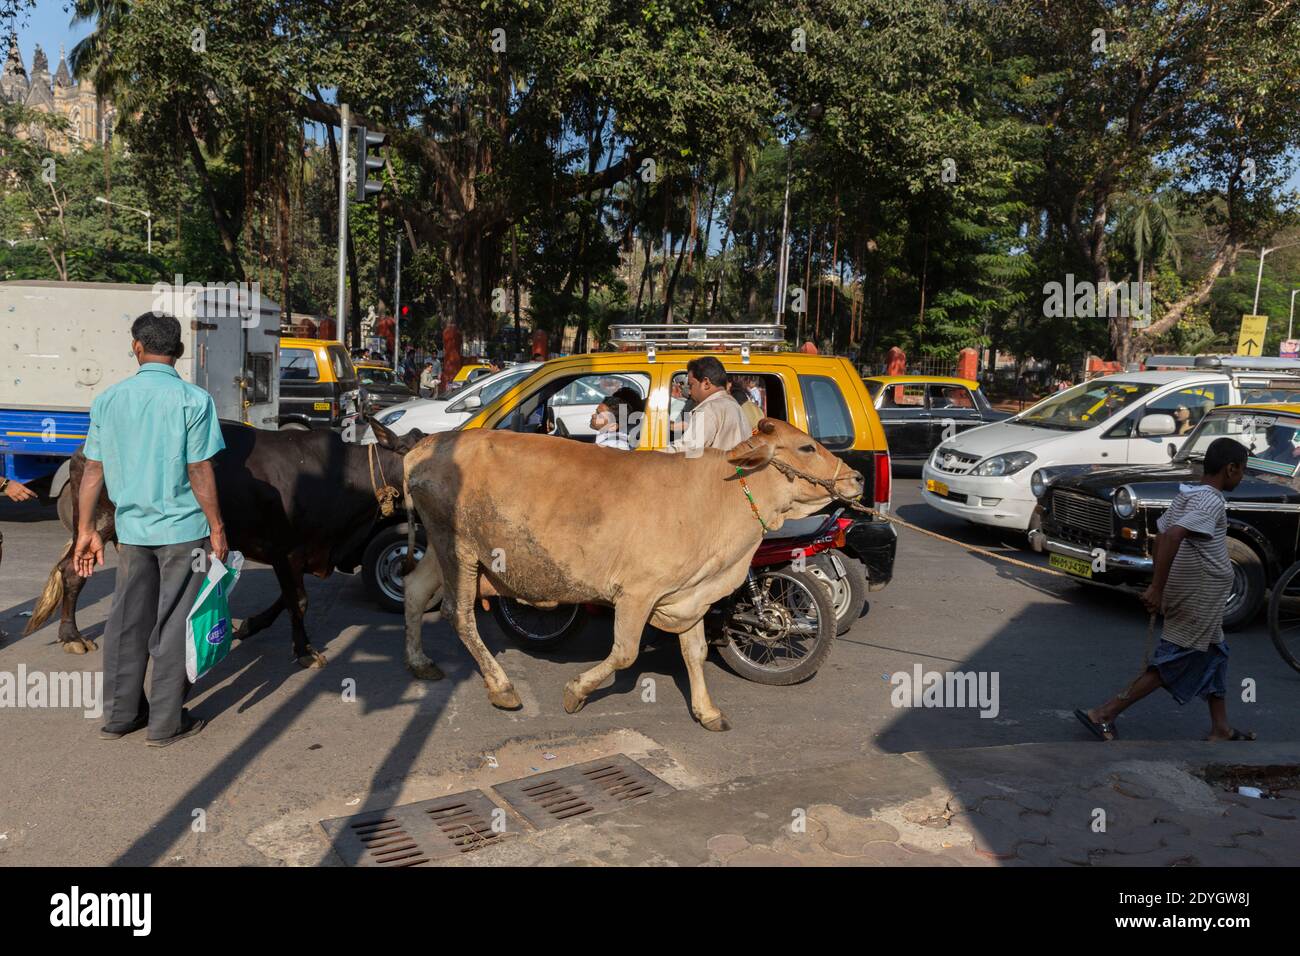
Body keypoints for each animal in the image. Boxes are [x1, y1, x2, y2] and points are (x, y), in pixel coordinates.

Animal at [24, 421, 420, 667]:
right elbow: (299, 600)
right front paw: (305, 651)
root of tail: (83, 448)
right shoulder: (286, 549)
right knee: (72, 571)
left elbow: (288, 599)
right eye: (409, 450)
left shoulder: (303, 553)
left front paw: (249, 626)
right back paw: (71, 636)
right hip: (98, 521)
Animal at [378, 417, 863, 731]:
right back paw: (501, 687)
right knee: (458, 615)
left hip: (441, 551)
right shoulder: (637, 593)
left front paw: (707, 712)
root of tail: (426, 444)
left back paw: (419, 661)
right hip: (458, 550)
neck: (719, 496)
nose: (857, 478)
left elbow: (696, 653)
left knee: (416, 592)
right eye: (806, 448)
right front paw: (576, 692)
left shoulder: (687, 595)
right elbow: (625, 653)